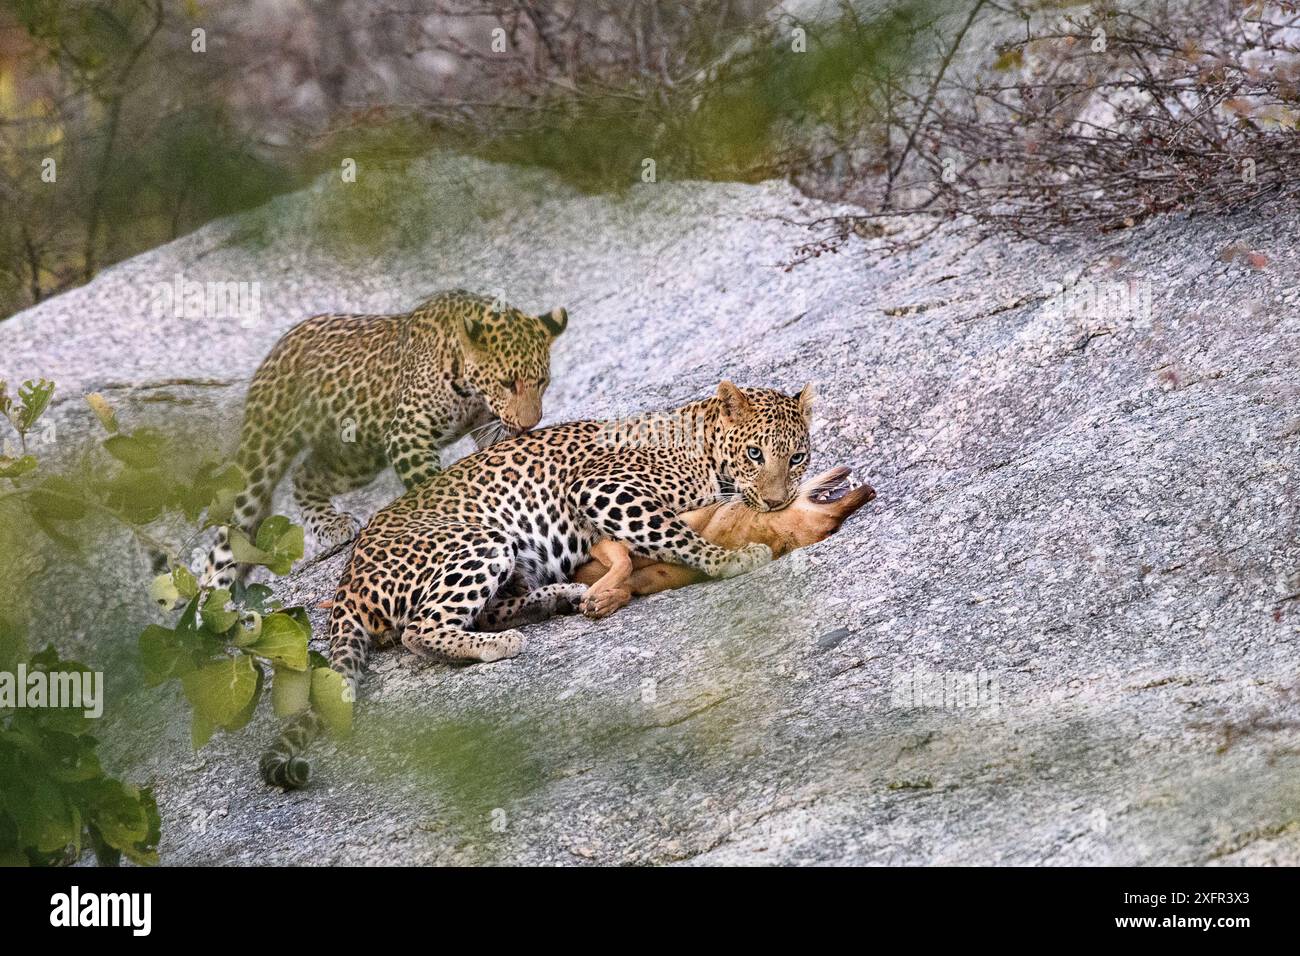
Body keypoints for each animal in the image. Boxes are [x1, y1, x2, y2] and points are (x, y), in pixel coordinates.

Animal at [202, 290, 567, 589]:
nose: (530, 423)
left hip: (357, 457)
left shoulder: (488, 426)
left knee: (304, 476)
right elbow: (433, 486)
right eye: (508, 383)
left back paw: (331, 526)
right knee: (233, 525)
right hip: (264, 446)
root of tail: (279, 345)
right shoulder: (409, 433)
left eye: (542, 382)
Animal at [259, 379, 813, 788]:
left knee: (483, 609)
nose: (779, 502)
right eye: (756, 453)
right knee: (422, 629)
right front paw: (732, 557)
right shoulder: (604, 487)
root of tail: (347, 580)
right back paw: (504, 643)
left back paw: (557, 599)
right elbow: (676, 534)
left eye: (797, 457)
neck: (702, 445)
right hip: (480, 539)